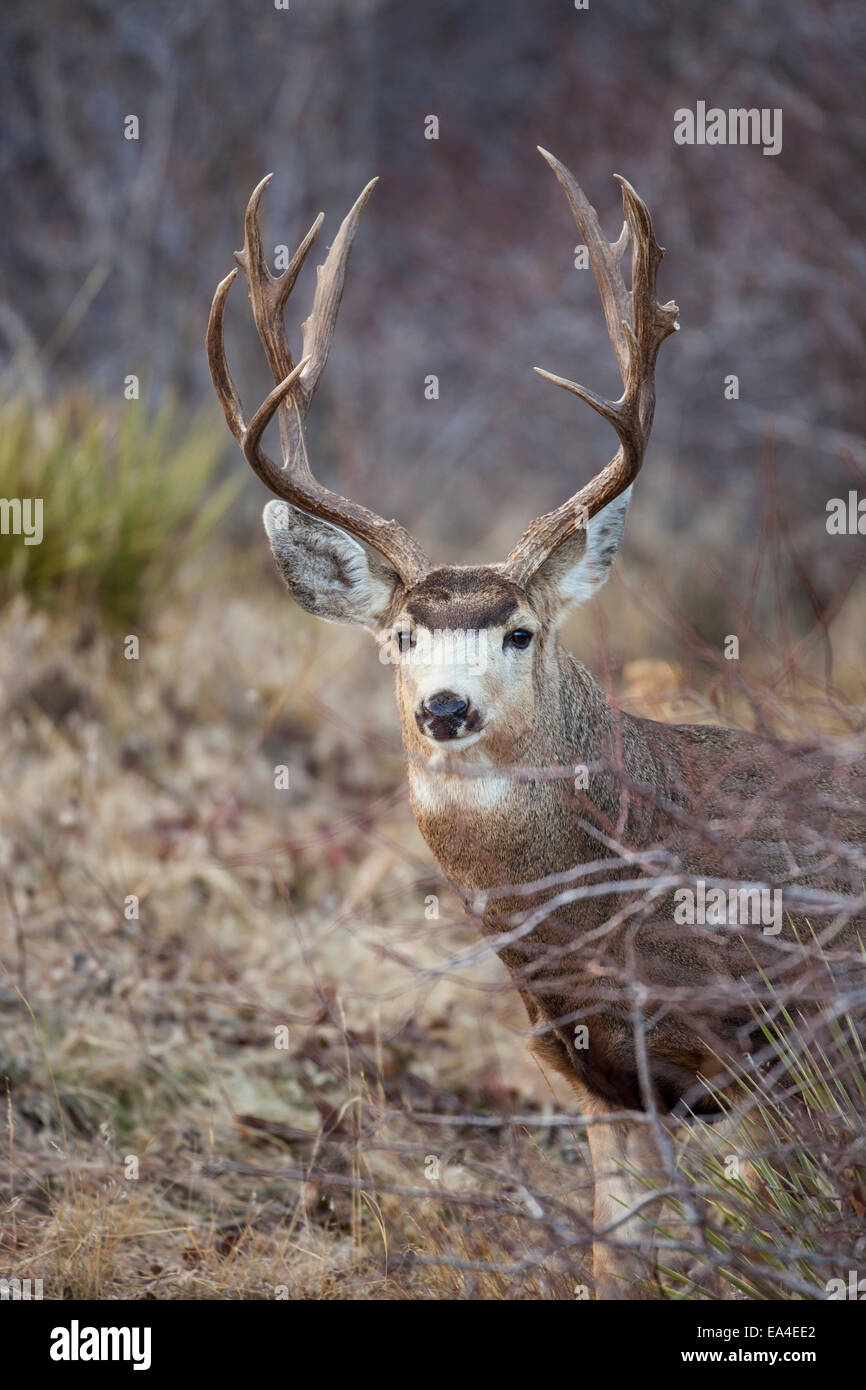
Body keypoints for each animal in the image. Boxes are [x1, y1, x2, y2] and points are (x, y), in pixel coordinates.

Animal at [208, 149, 866, 1298]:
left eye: (518, 630)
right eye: (401, 637)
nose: (445, 707)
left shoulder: (782, 1039)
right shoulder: (601, 1075)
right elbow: (619, 1263)